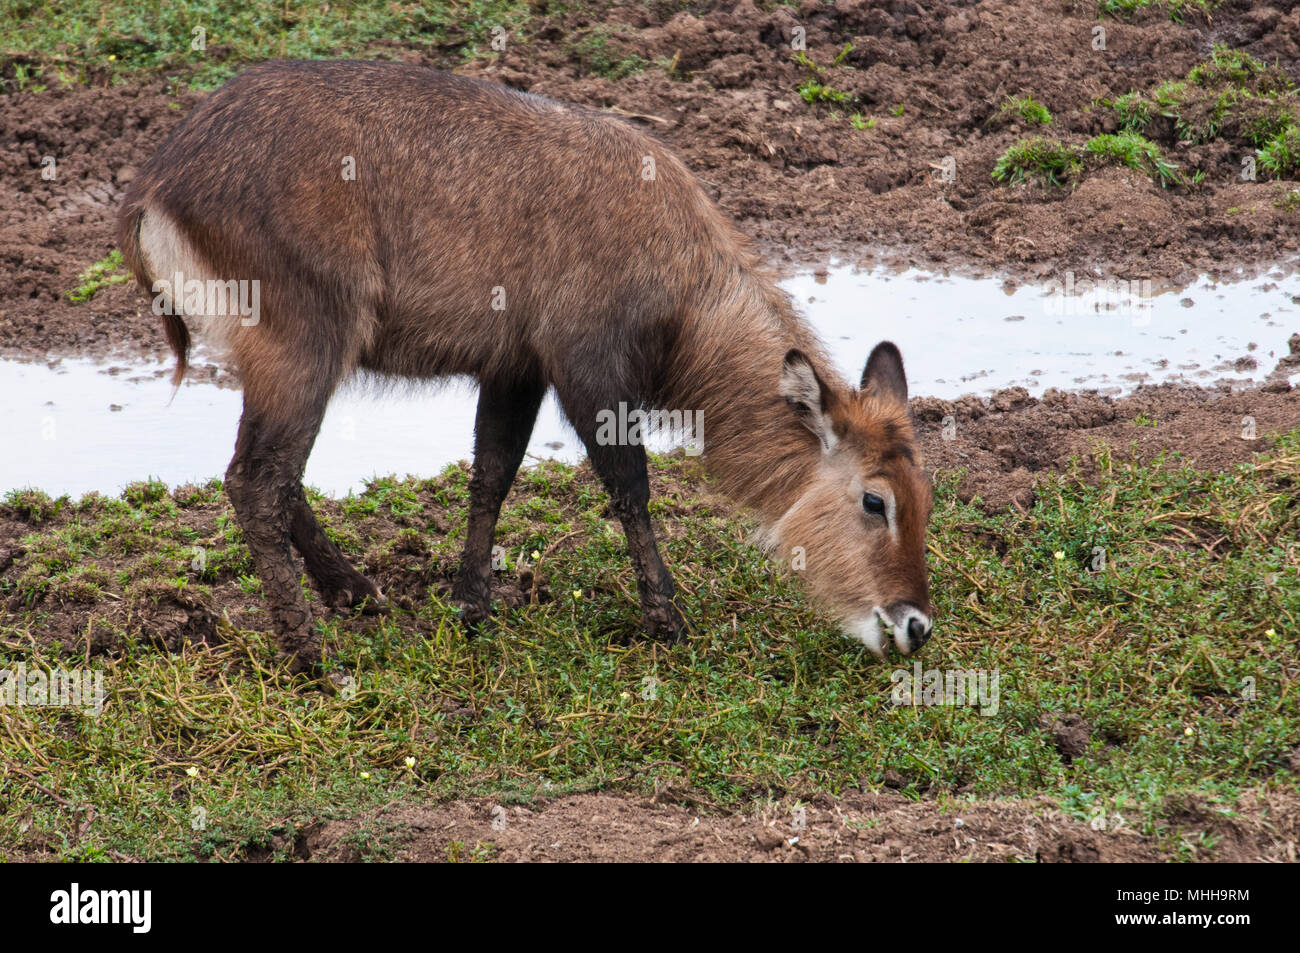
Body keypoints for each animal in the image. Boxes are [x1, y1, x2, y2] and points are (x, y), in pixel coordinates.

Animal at [117, 60, 934, 673]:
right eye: (874, 500)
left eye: (925, 493)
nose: (915, 624)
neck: (684, 286)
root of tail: (154, 185)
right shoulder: (585, 365)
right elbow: (629, 484)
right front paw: (668, 618)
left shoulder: (515, 368)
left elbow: (492, 473)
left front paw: (471, 606)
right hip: (308, 338)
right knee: (257, 480)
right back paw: (316, 661)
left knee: (273, 477)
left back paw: (358, 593)